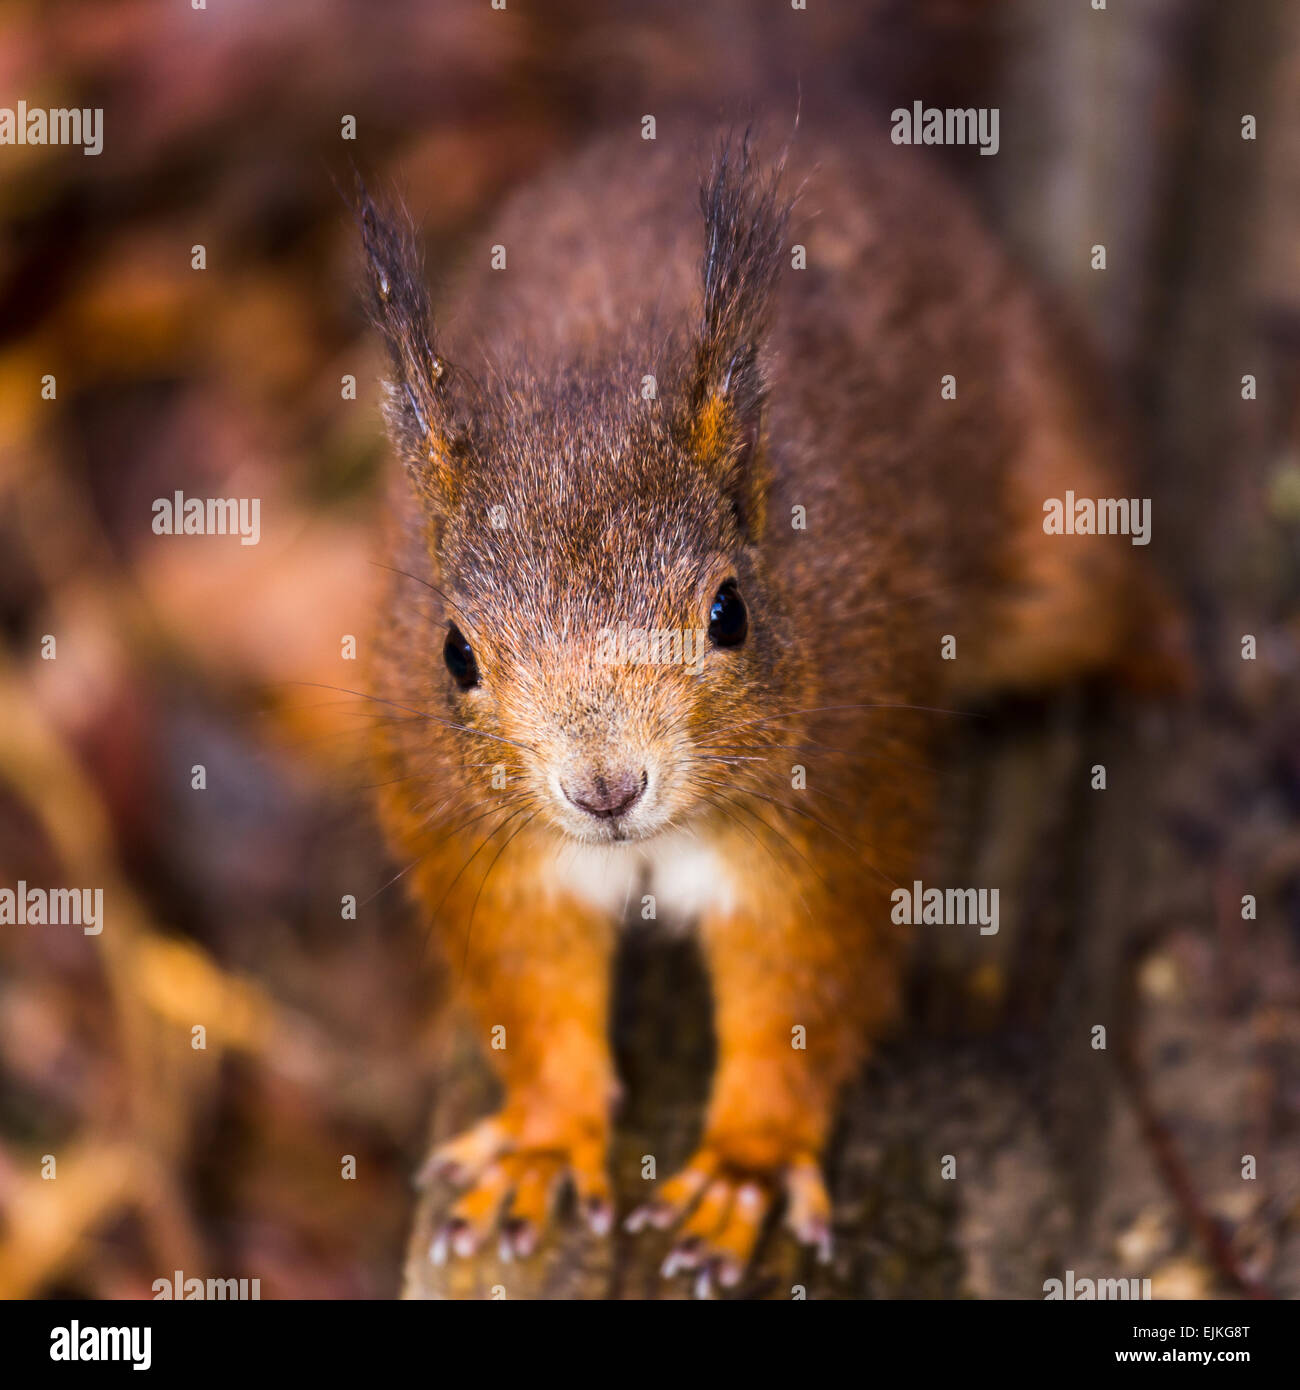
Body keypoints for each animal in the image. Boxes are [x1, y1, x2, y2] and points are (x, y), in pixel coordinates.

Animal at [358, 119, 1184, 1291]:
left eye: (730, 612)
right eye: (455, 653)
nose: (605, 789)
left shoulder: (834, 795)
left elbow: (801, 984)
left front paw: (744, 1168)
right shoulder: (479, 835)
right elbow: (532, 983)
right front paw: (542, 1143)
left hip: (1051, 527)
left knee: (1105, 577)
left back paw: (1167, 662)